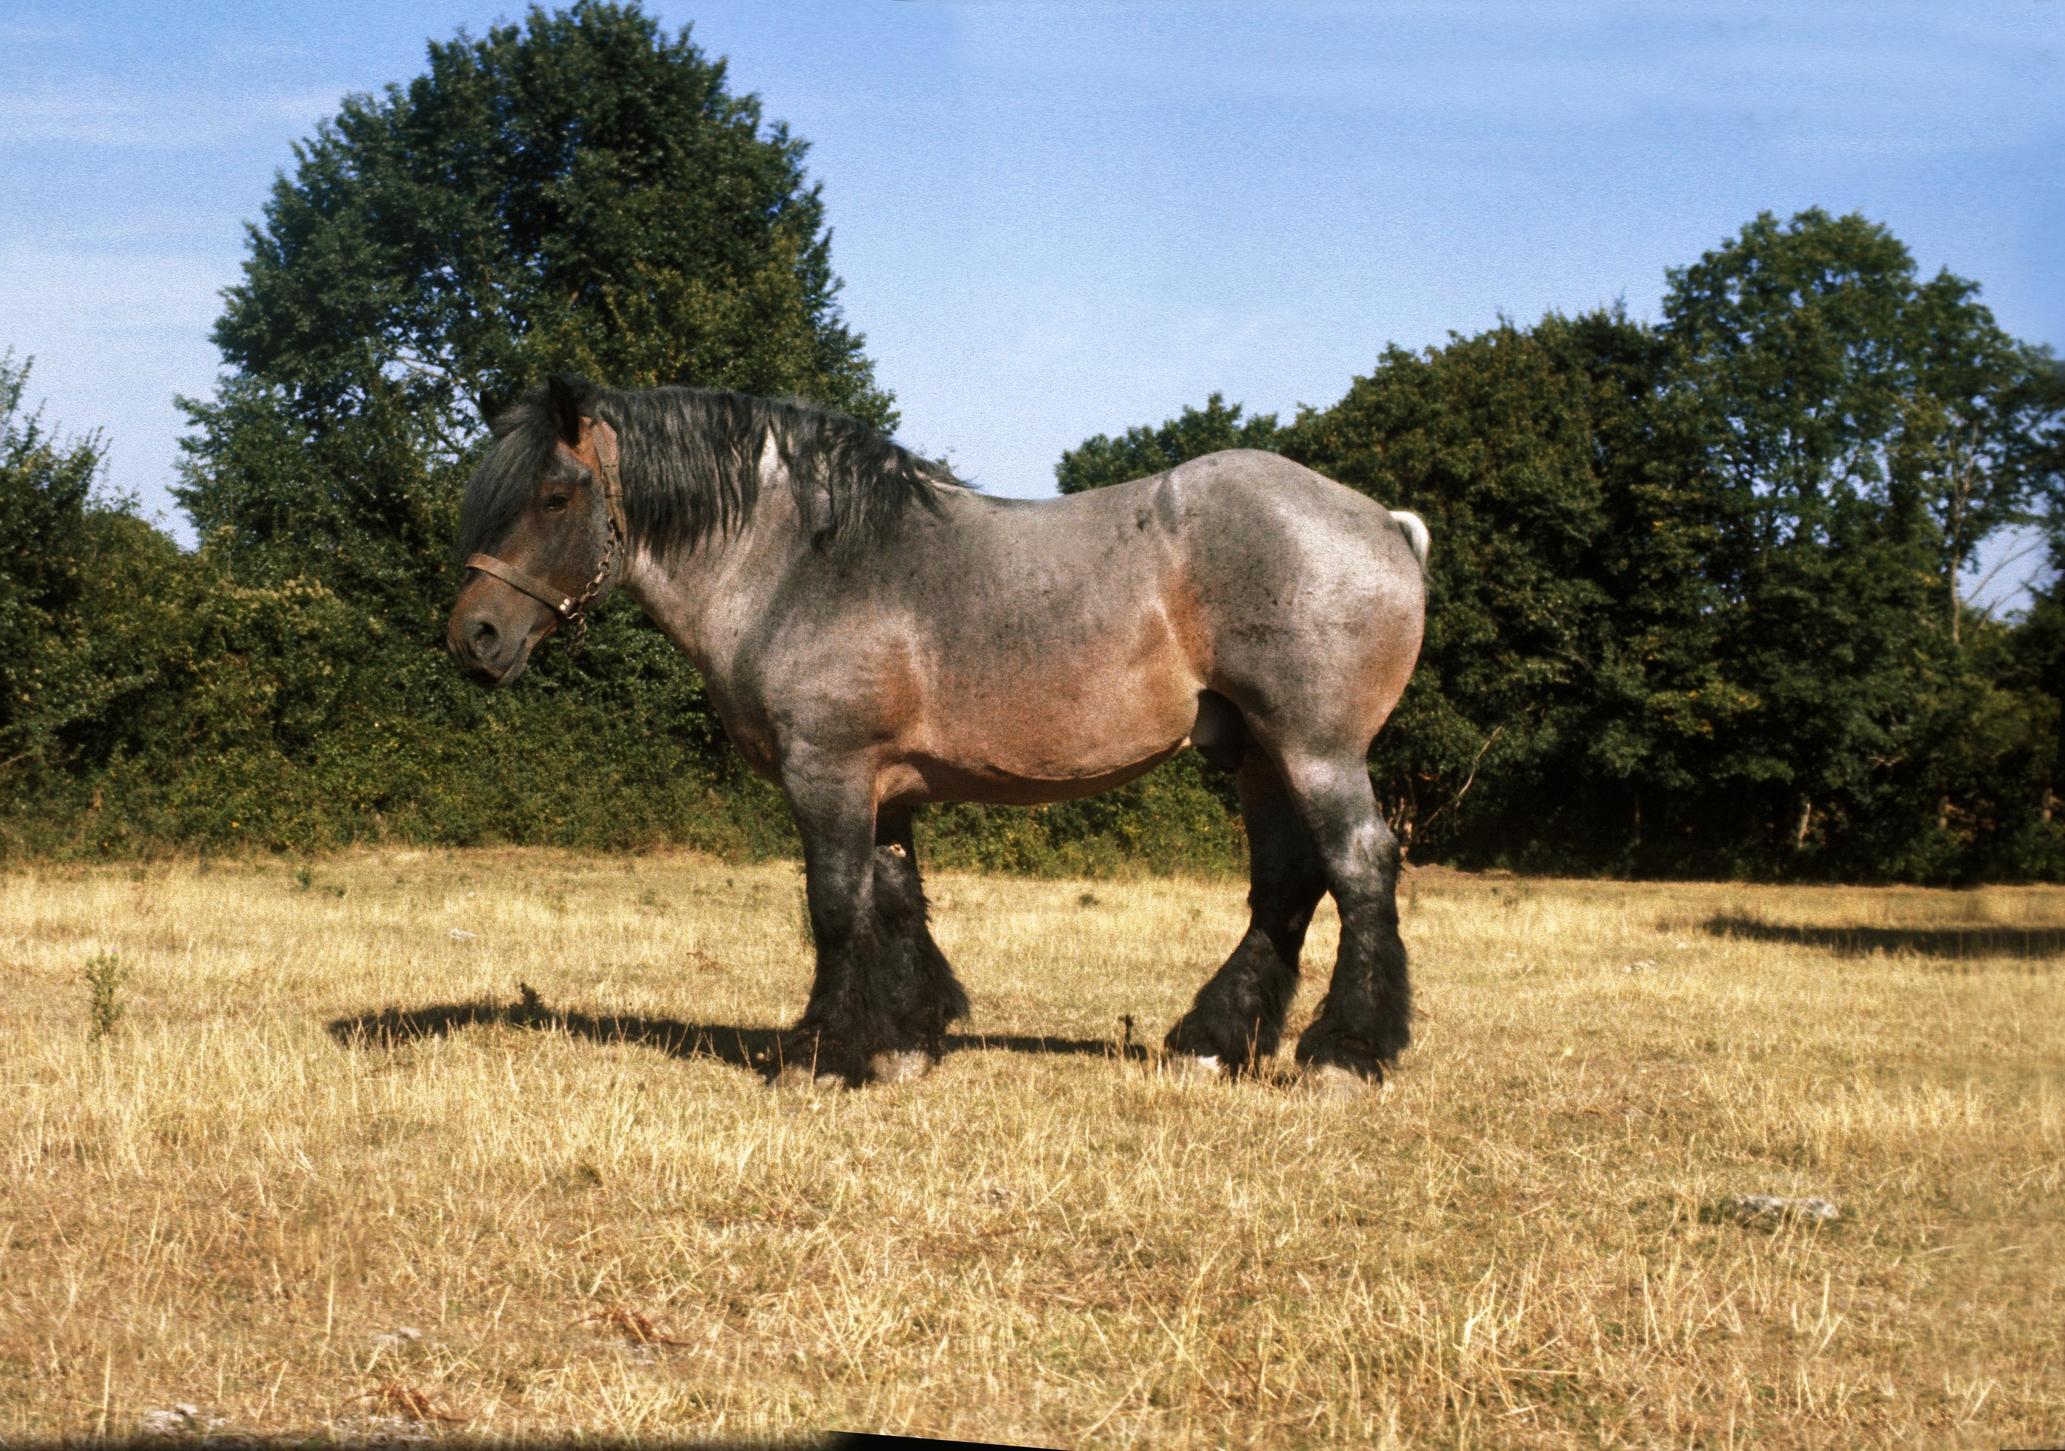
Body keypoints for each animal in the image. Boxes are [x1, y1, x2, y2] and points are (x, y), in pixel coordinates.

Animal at [447, 375, 1428, 1094]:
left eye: (555, 494)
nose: (473, 637)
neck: (803, 562)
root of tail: (1386, 522)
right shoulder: (887, 786)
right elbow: (894, 899)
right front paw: (902, 1041)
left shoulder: (829, 772)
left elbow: (834, 904)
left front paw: (819, 1055)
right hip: (1257, 755)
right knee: (1286, 882)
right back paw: (1214, 1041)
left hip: (1314, 748)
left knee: (1357, 866)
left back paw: (1345, 1053)